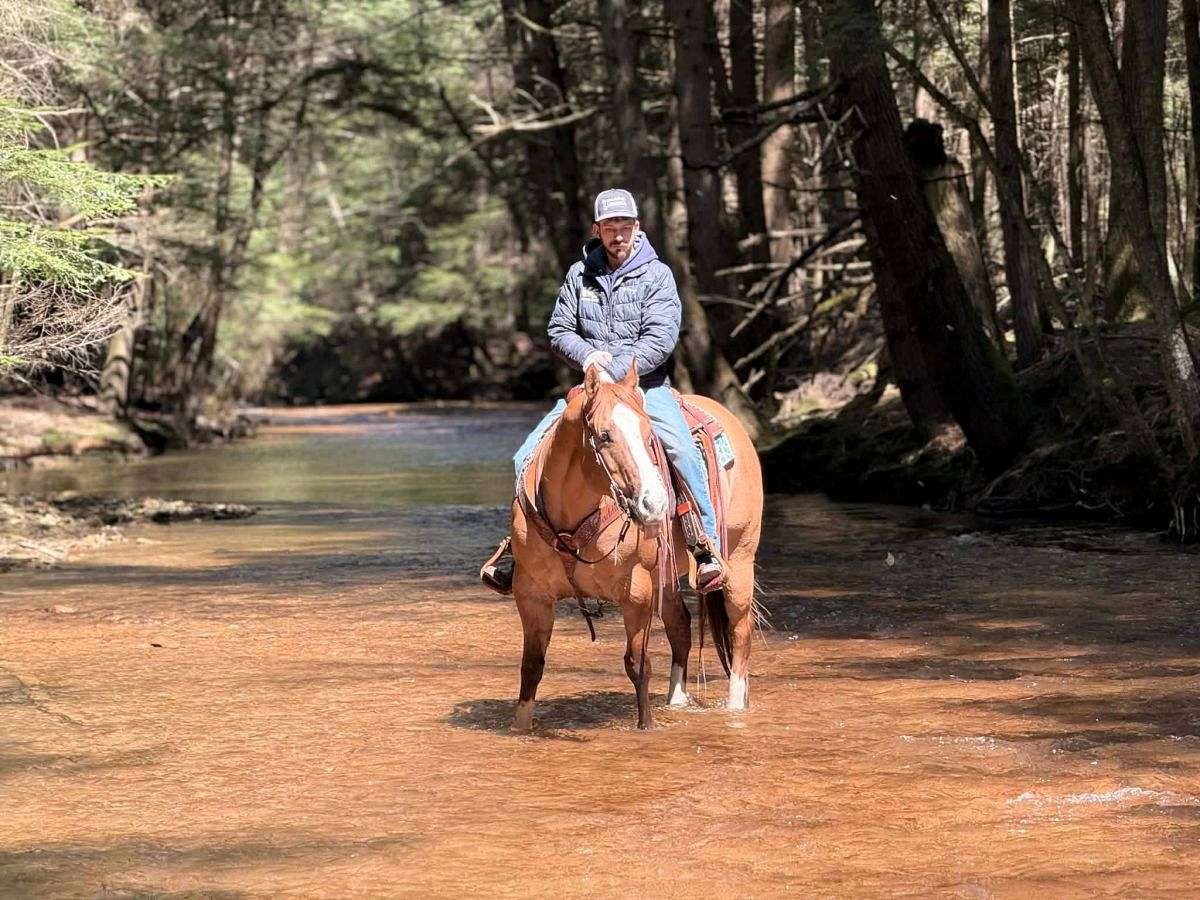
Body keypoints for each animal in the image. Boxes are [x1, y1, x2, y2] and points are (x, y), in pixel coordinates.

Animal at [508, 362, 763, 732]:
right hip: (667, 576)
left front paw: (647, 727)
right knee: (680, 625)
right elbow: (532, 666)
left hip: (740, 561)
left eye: (647, 435)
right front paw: (519, 730)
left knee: (740, 632)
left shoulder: (637, 592)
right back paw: (676, 700)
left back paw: (733, 709)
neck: (572, 523)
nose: (654, 504)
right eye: (604, 435)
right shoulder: (531, 595)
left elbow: (638, 665)